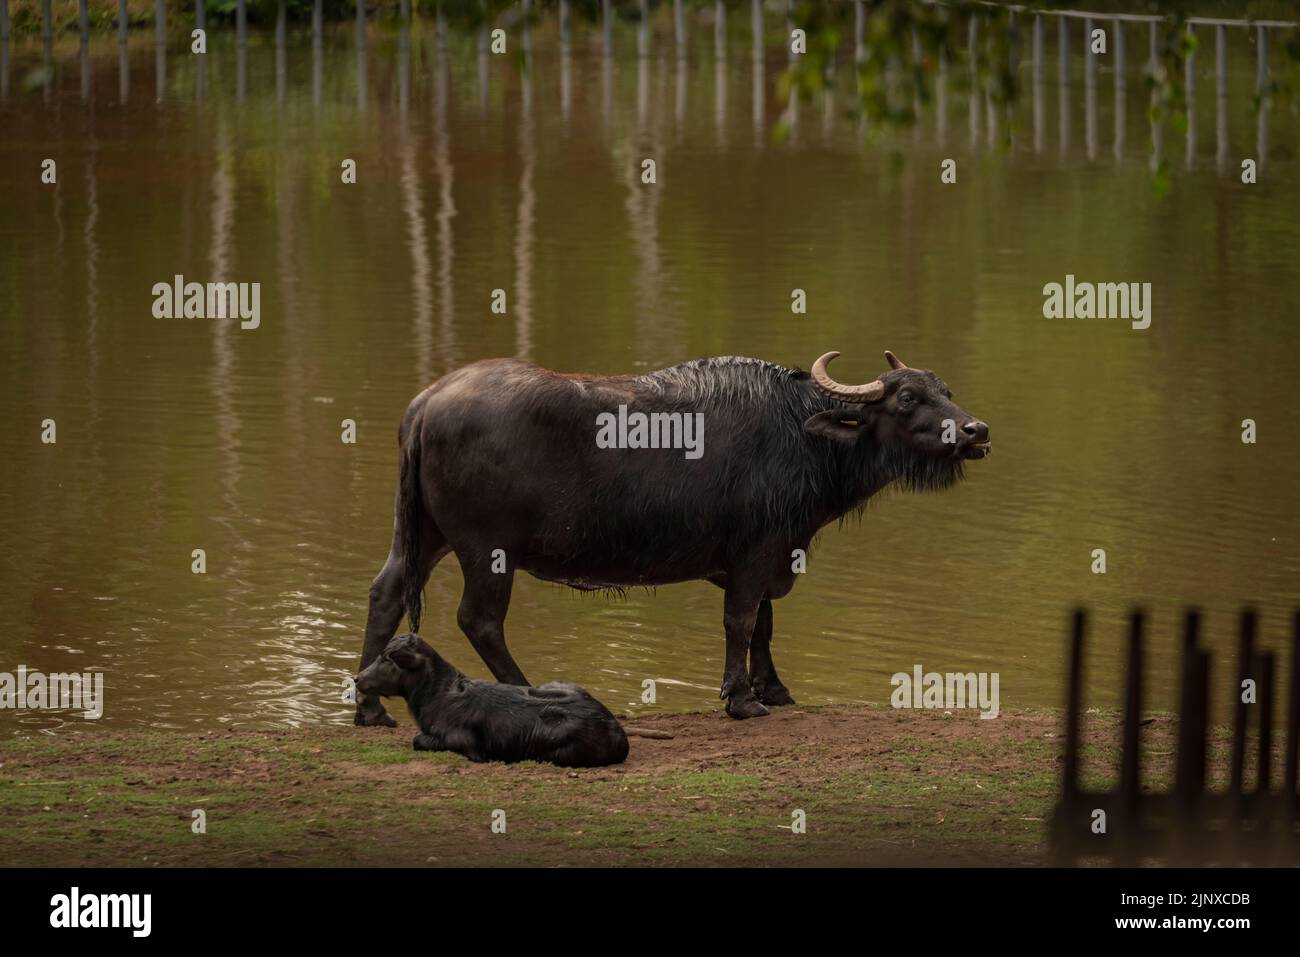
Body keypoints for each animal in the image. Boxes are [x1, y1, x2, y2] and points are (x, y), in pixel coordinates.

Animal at [354, 350, 989, 724]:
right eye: (907, 398)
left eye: (946, 389)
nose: (976, 431)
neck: (800, 433)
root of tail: (426, 404)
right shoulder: (755, 551)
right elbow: (741, 621)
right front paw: (742, 699)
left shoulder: (767, 554)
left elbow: (764, 624)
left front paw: (774, 689)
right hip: (488, 550)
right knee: (479, 619)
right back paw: (528, 692)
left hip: (422, 535)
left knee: (385, 591)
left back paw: (368, 706)